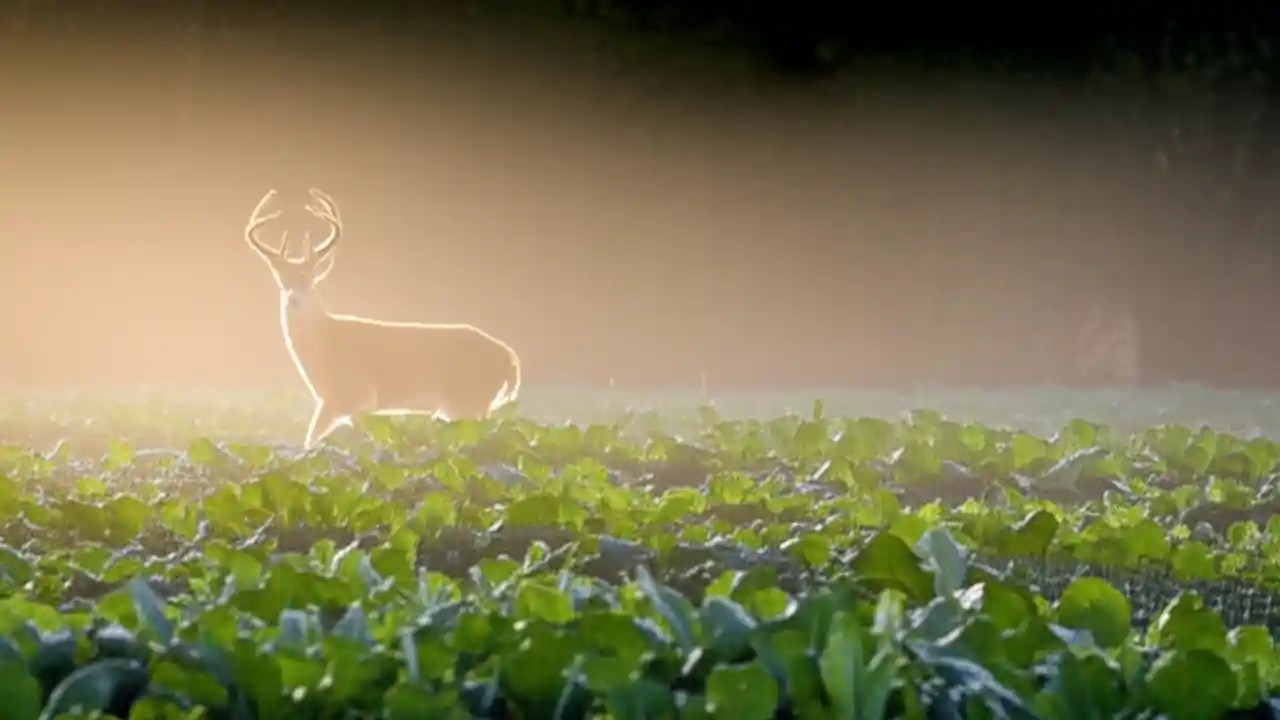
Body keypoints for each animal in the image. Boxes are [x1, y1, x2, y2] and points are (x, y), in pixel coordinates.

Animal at [242, 188, 522, 449]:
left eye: (311, 279)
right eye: (282, 281)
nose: (294, 300)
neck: (325, 350)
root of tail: (511, 359)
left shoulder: (356, 398)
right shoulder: (336, 403)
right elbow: (311, 442)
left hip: (468, 402)